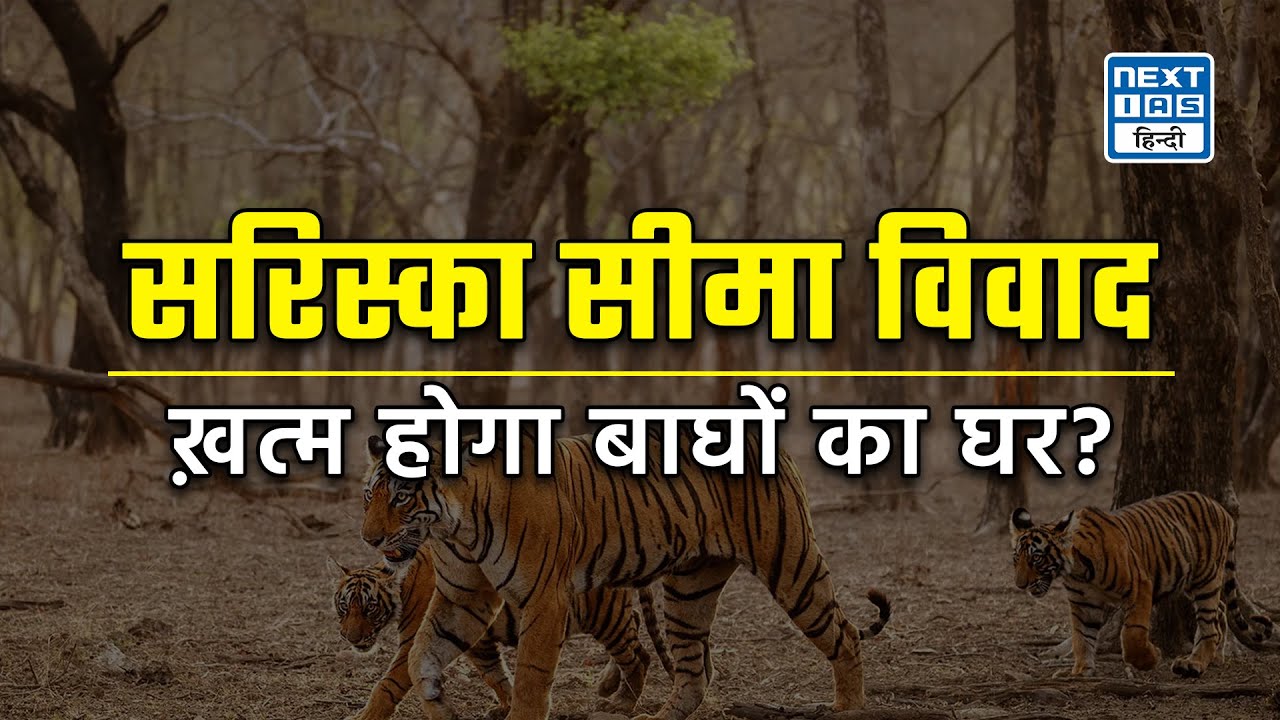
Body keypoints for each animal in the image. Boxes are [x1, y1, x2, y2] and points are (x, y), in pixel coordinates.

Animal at [329, 547, 673, 720]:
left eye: (370, 608)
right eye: (344, 607)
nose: (350, 638)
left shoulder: (414, 641)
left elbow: (387, 685)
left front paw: (363, 717)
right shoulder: (476, 641)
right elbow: (495, 674)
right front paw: (506, 705)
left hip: (604, 616)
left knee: (639, 655)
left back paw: (622, 704)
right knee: (634, 631)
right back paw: (608, 685)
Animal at [1010, 491, 1275, 679]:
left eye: (1036, 558)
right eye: (1016, 559)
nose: (1020, 585)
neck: (1076, 570)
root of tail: (1221, 508)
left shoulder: (1139, 586)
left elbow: (1132, 635)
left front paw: (1151, 658)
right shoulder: (1083, 603)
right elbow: (1081, 638)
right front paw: (1080, 671)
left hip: (1205, 577)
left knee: (1211, 621)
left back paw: (1195, 663)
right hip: (1194, 582)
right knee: (1219, 609)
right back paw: (1216, 657)